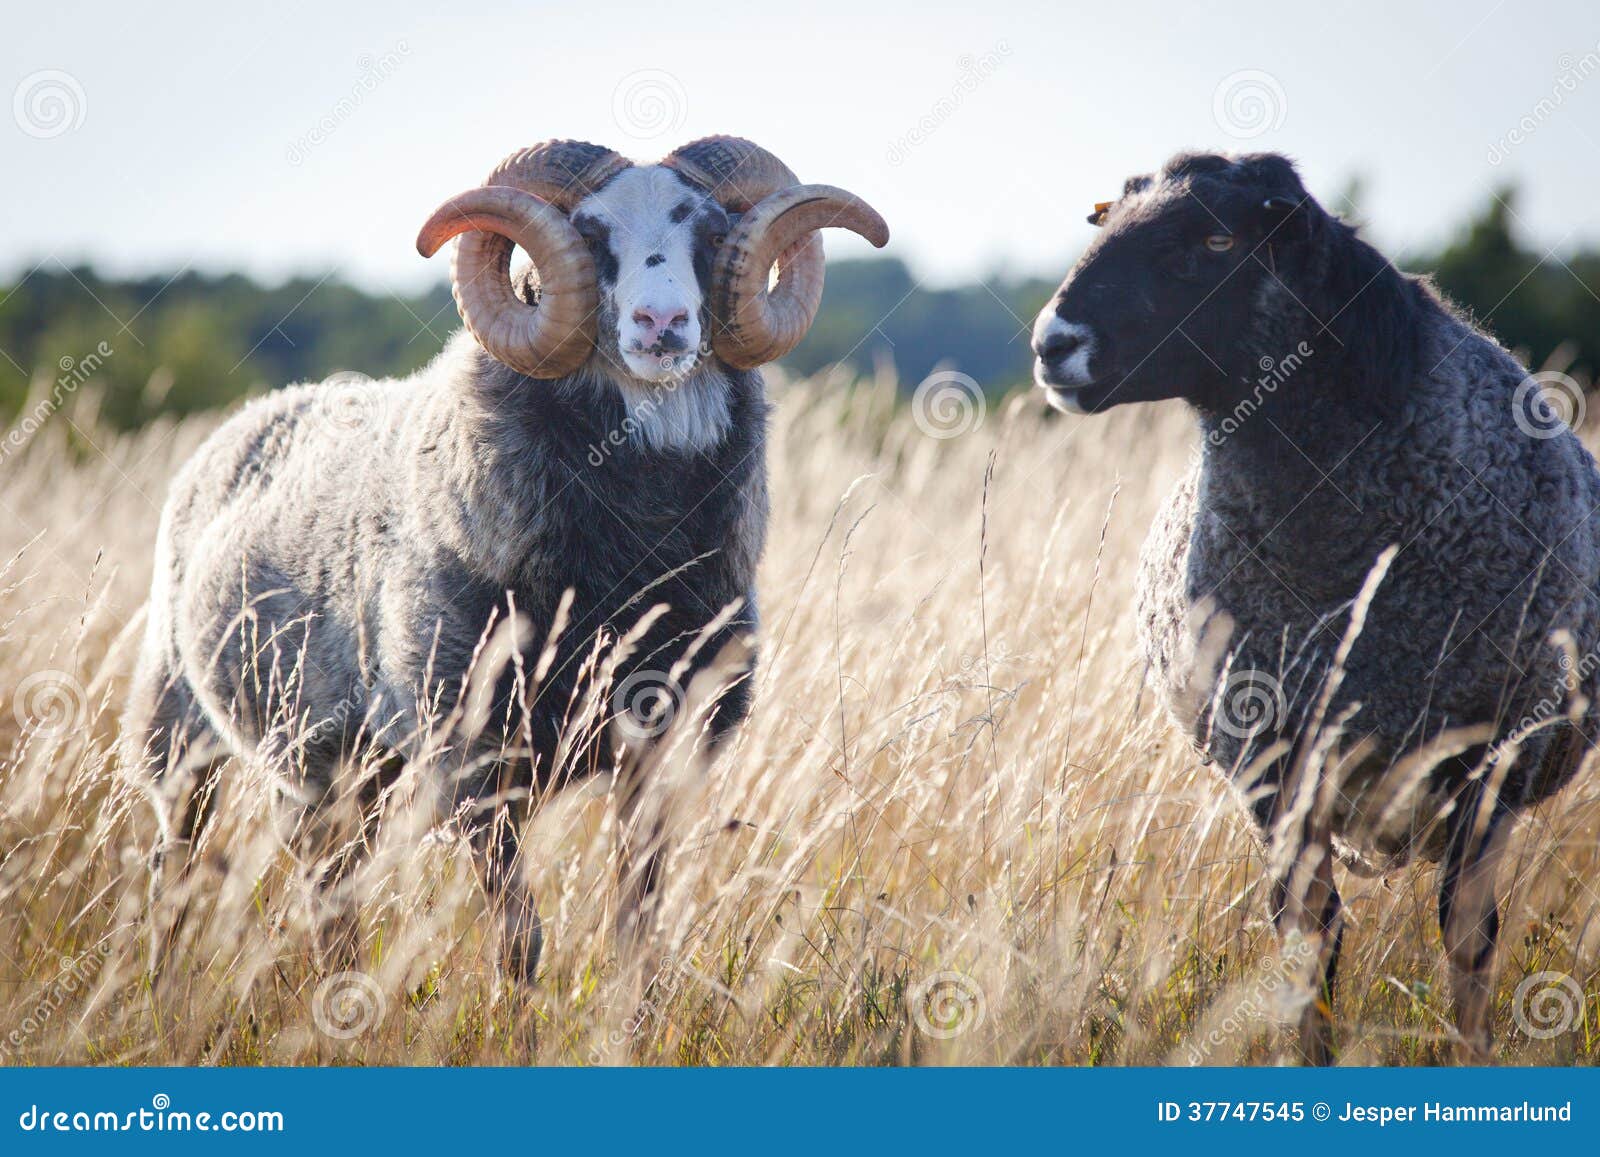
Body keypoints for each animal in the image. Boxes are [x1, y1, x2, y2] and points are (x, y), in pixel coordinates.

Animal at [124, 136, 889, 979]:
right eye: (591, 234)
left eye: (714, 232)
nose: (662, 321)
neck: (630, 561)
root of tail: (253, 415)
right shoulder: (474, 759)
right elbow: (520, 941)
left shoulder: (659, 752)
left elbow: (637, 932)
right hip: (183, 729)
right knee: (178, 868)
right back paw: (168, 983)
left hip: (338, 767)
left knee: (327, 885)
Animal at [1031, 151, 1599, 1062]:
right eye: (1107, 221)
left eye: (1216, 241)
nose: (1055, 344)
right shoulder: (1274, 765)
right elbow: (1309, 936)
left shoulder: (1490, 761)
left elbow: (1468, 940)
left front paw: (1470, 1051)